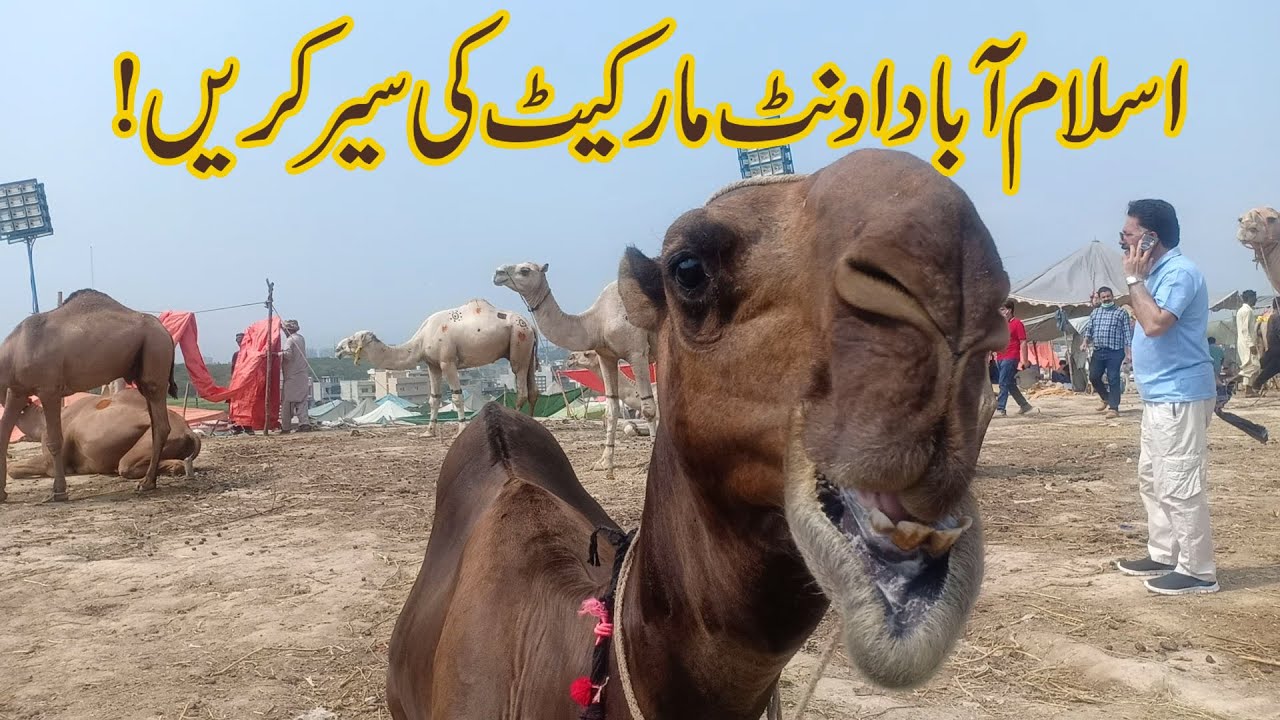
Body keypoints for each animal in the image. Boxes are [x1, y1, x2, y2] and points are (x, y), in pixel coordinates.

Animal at [1, 289, 178, 502]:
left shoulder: (49, 389)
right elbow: (3, 435)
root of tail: (166, 332)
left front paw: (59, 492)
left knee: (160, 424)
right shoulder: (17, 390)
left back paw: (147, 483)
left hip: (155, 354)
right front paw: (2, 493)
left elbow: (54, 440)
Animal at [334, 299, 539, 438]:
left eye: (351, 341)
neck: (422, 339)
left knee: (521, 388)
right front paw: (428, 431)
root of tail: (530, 325)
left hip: (519, 342)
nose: (337, 349)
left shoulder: (447, 361)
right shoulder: (432, 365)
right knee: (533, 390)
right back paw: (531, 423)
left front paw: (460, 430)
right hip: (527, 350)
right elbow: (434, 399)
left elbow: (457, 397)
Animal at [493, 265, 658, 480]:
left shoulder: (637, 352)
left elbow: (648, 409)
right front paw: (604, 464)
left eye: (525, 270)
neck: (598, 320)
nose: (498, 273)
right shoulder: (606, 356)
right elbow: (611, 410)